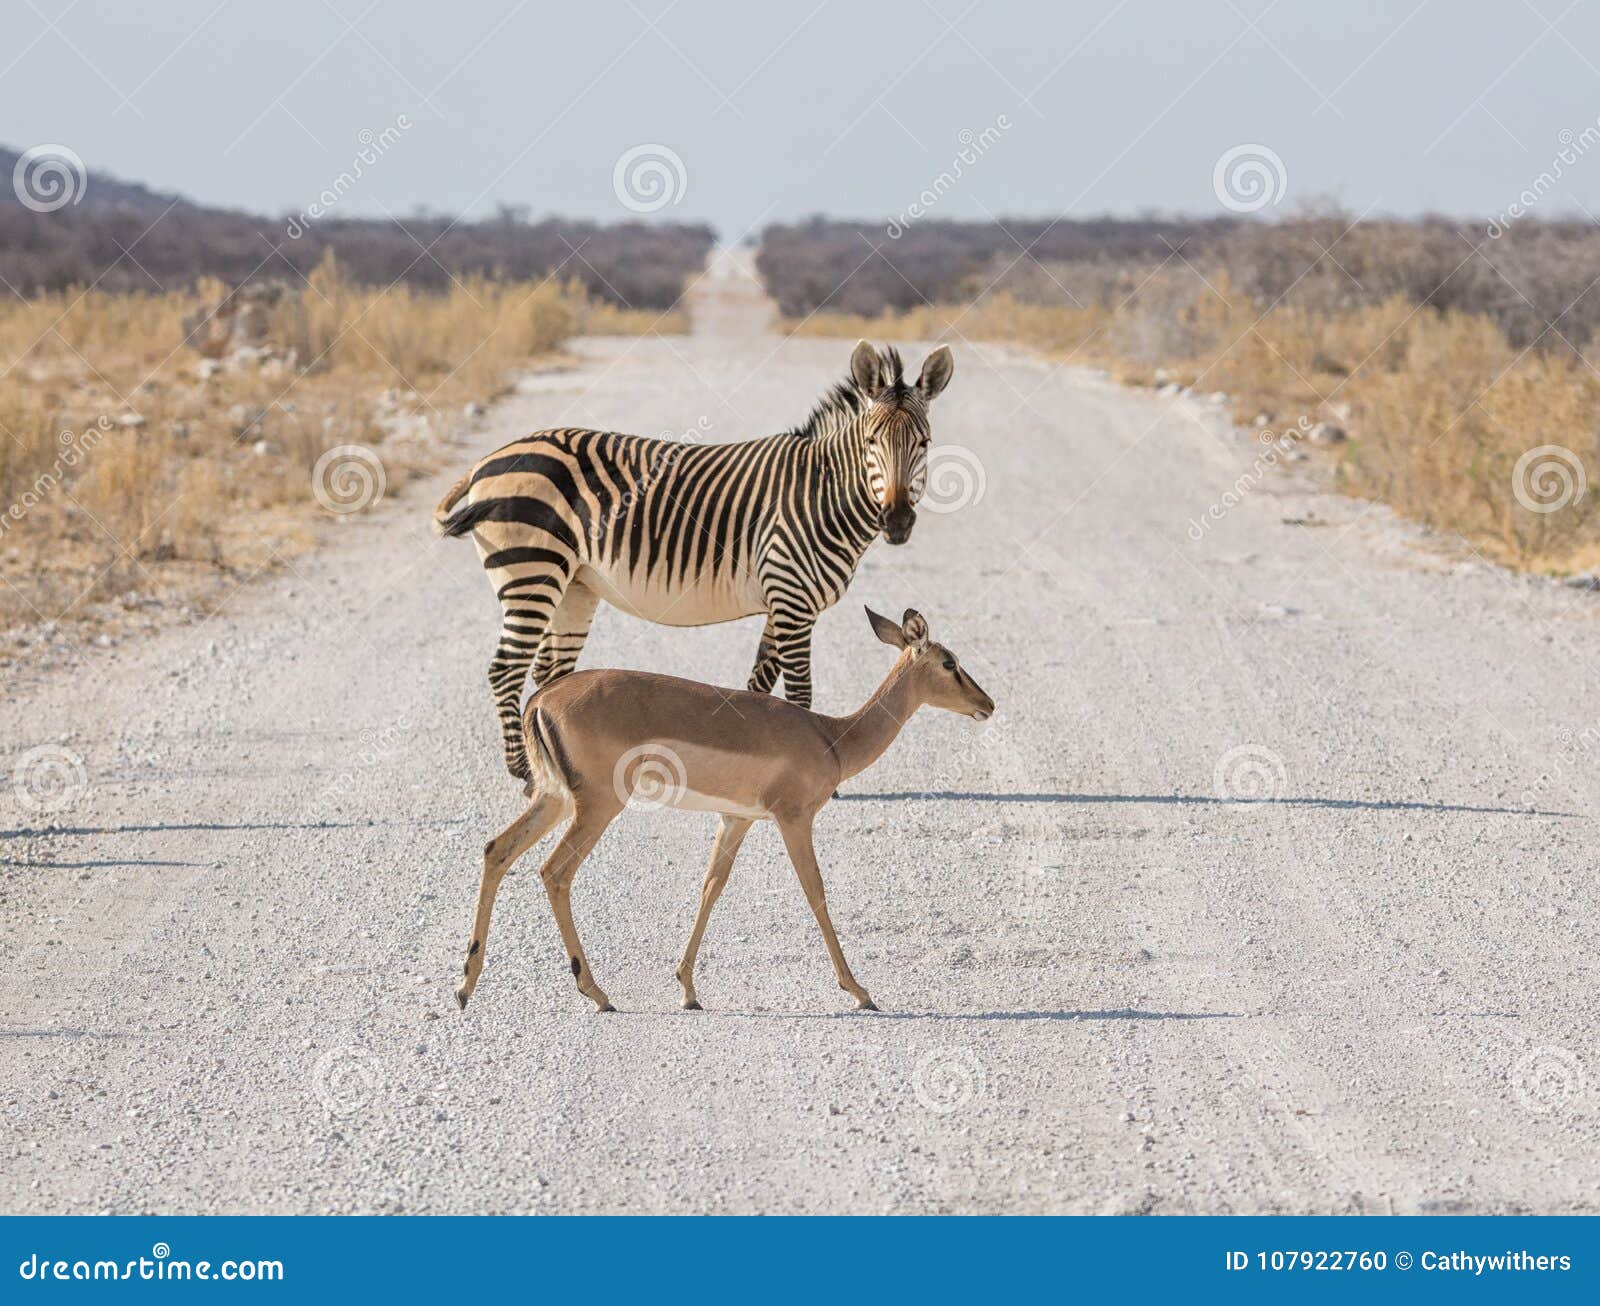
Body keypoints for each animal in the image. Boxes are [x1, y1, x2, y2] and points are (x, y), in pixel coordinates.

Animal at [434, 339, 955, 782]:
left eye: (924, 442)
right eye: (871, 442)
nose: (897, 521)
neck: (822, 494)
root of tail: (488, 459)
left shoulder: (781, 601)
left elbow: (757, 685)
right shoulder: (791, 599)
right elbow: (800, 692)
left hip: (574, 585)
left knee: (548, 670)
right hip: (531, 569)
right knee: (505, 668)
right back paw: (521, 768)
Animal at [455, 606, 994, 1014]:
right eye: (949, 662)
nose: (987, 703)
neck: (832, 736)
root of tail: (540, 700)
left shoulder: (736, 820)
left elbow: (711, 888)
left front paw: (688, 991)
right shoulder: (794, 819)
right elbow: (815, 892)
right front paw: (860, 991)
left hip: (555, 798)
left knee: (496, 850)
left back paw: (465, 986)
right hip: (598, 806)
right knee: (553, 872)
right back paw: (597, 993)